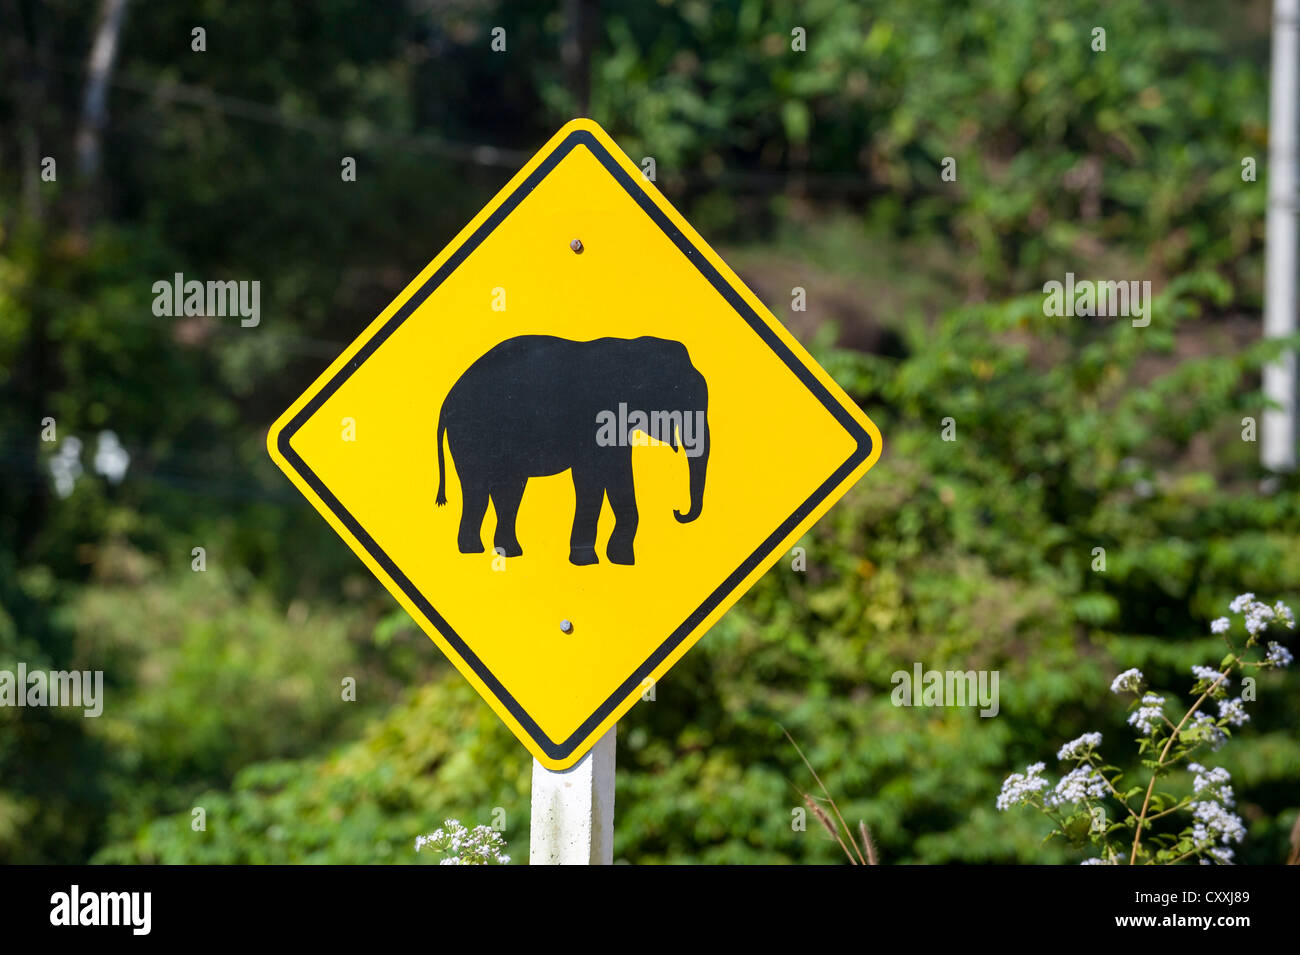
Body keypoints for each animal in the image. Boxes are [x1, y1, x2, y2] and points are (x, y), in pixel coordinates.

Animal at [435, 335, 709, 566]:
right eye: (678, 395)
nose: (677, 511)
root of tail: (446, 402)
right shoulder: (595, 419)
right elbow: (590, 478)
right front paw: (588, 561)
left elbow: (618, 474)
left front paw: (621, 561)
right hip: (470, 433)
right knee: (478, 488)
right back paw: (475, 551)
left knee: (507, 489)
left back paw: (506, 552)